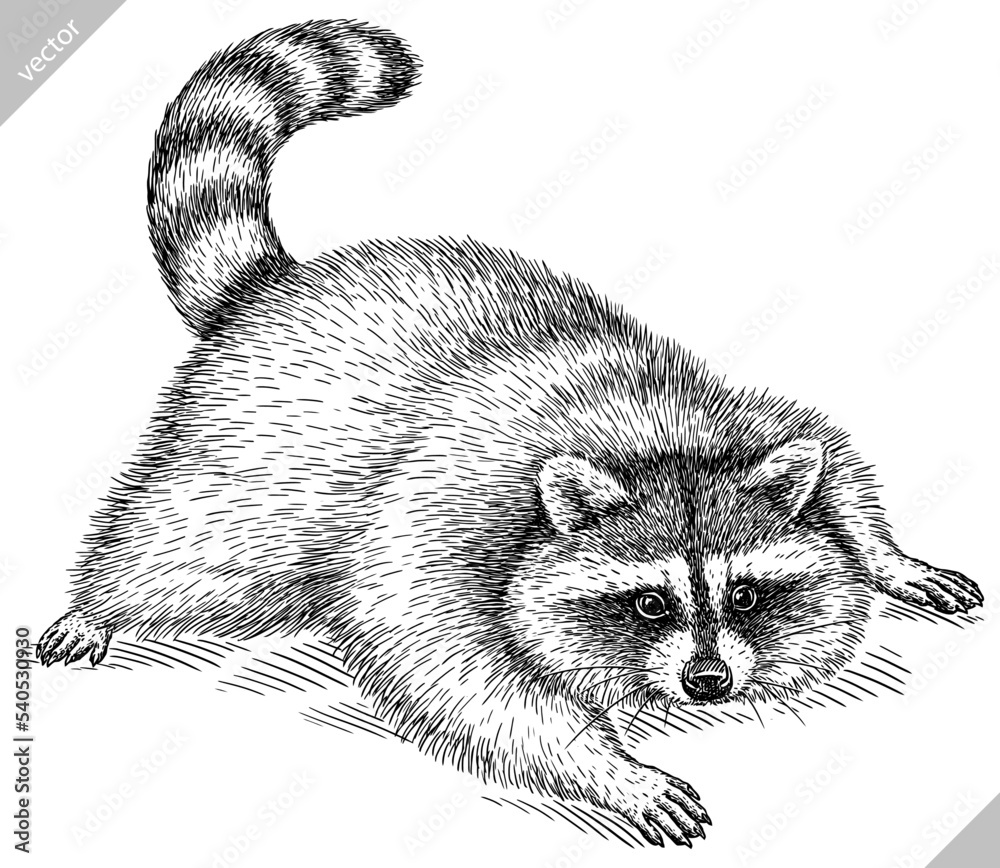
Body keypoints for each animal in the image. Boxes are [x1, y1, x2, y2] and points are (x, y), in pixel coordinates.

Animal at [38, 20, 982, 847]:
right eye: (648, 602)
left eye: (746, 595)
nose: (707, 682)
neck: (652, 447)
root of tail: (277, 287)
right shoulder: (445, 525)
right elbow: (456, 671)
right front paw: (609, 769)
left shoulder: (741, 416)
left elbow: (838, 465)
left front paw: (891, 558)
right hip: (250, 463)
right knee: (174, 549)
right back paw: (98, 603)